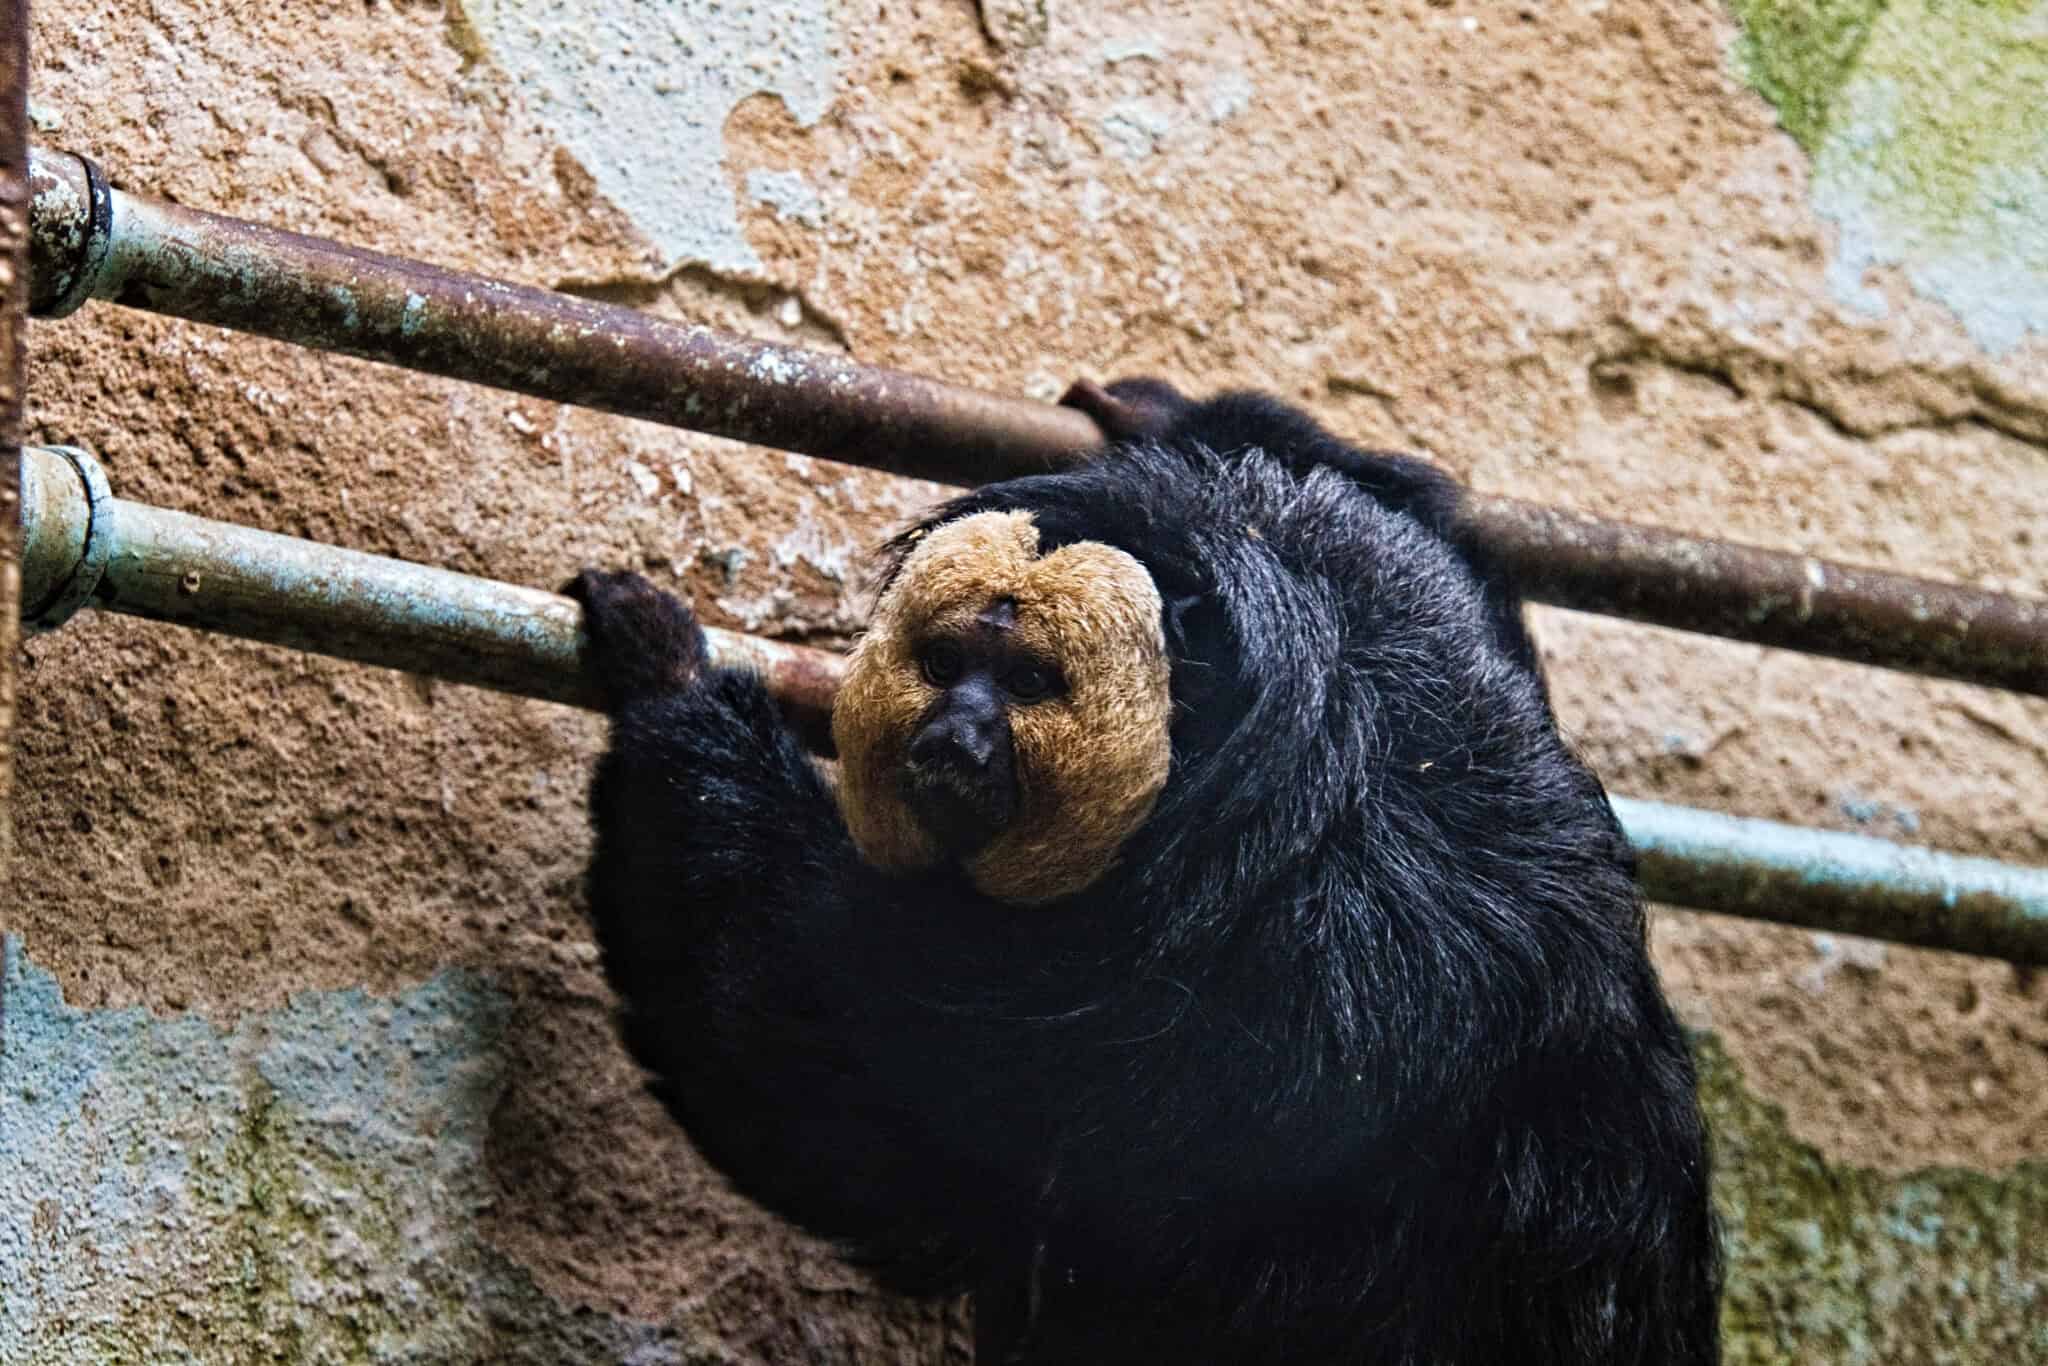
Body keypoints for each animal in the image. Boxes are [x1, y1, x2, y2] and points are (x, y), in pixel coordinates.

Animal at [567, 378, 1721, 1365]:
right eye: (944, 665)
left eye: (1027, 682)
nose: (953, 738)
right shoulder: (1422, 639)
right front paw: (1174, 414)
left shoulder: (1291, 986)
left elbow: (876, 1116)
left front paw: (672, 680)